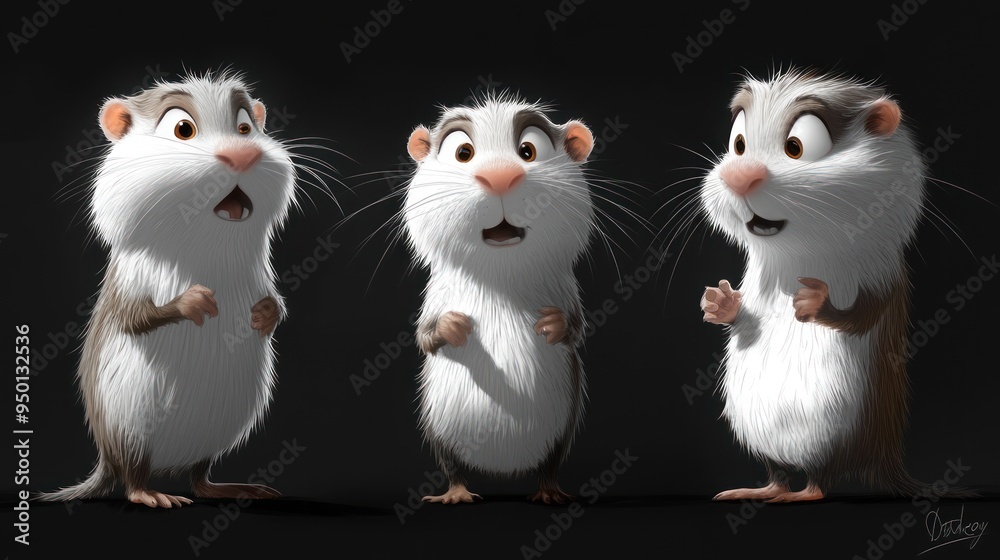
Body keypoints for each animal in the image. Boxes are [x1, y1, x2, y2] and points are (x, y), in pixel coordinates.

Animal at [39, 71, 296, 508]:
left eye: (246, 127)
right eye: (182, 129)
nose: (242, 156)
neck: (210, 245)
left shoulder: (262, 274)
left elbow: (275, 303)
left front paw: (262, 315)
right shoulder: (132, 275)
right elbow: (137, 316)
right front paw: (198, 301)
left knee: (200, 478)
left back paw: (235, 487)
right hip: (131, 425)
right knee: (133, 476)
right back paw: (153, 495)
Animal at [403, 93, 596, 504]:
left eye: (528, 150)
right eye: (463, 152)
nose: (500, 177)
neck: (500, 273)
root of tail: (503, 467)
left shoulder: (565, 288)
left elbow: (576, 328)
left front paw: (551, 323)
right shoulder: (437, 293)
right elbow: (425, 335)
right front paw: (455, 326)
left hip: (563, 428)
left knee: (550, 465)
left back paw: (549, 491)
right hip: (438, 429)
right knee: (453, 467)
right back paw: (456, 493)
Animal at [698, 68, 973, 502]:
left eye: (797, 146)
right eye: (738, 144)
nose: (737, 177)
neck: (793, 255)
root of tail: (882, 457)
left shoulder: (881, 277)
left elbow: (860, 315)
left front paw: (811, 300)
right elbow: (741, 313)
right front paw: (718, 301)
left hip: (837, 435)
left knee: (821, 482)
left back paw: (799, 493)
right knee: (778, 472)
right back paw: (756, 490)